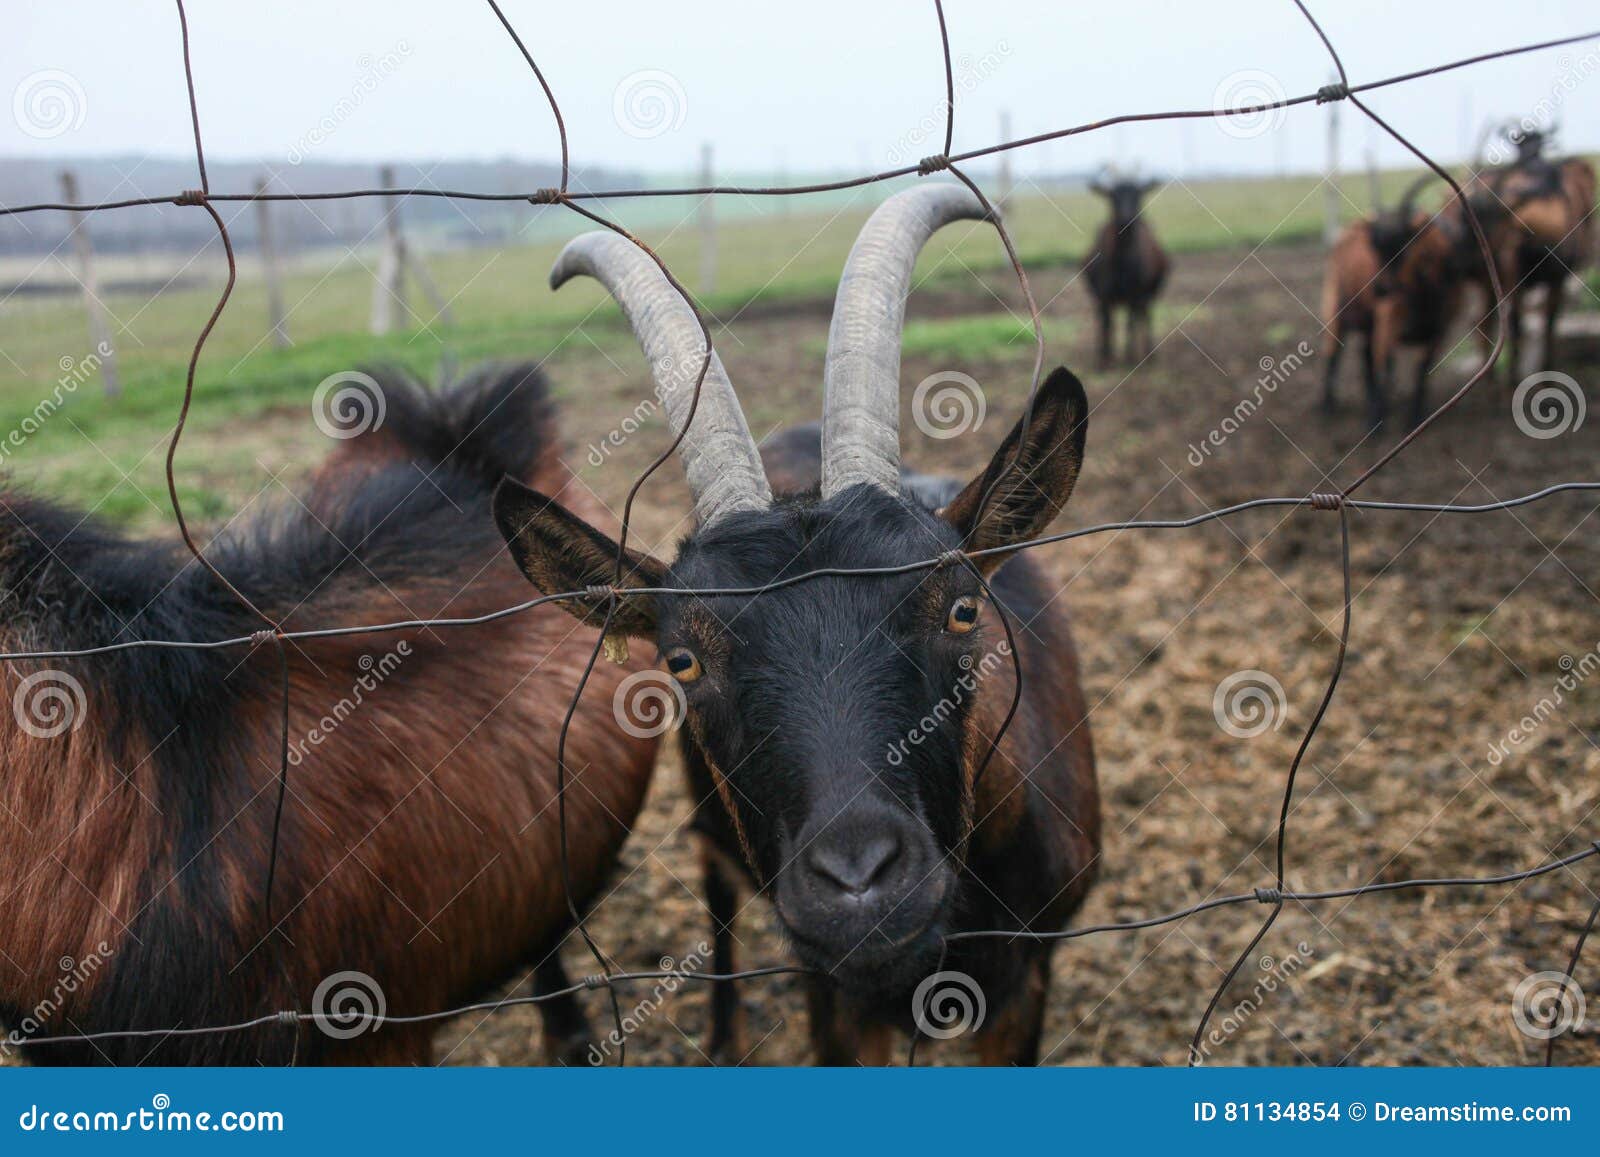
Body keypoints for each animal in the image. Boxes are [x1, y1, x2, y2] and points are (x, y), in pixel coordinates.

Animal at [495, 185, 1102, 1065]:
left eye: (962, 608)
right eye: (681, 659)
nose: (858, 881)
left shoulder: (1030, 973)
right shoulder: (836, 993)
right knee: (717, 889)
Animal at [1083, 177, 1169, 368]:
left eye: (1138, 194)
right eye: (1112, 196)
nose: (1126, 217)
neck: (1121, 265)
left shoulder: (1135, 295)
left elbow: (1130, 323)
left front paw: (1129, 357)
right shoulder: (1103, 295)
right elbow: (1107, 323)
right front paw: (1104, 359)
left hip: (1151, 292)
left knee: (1145, 316)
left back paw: (1149, 353)